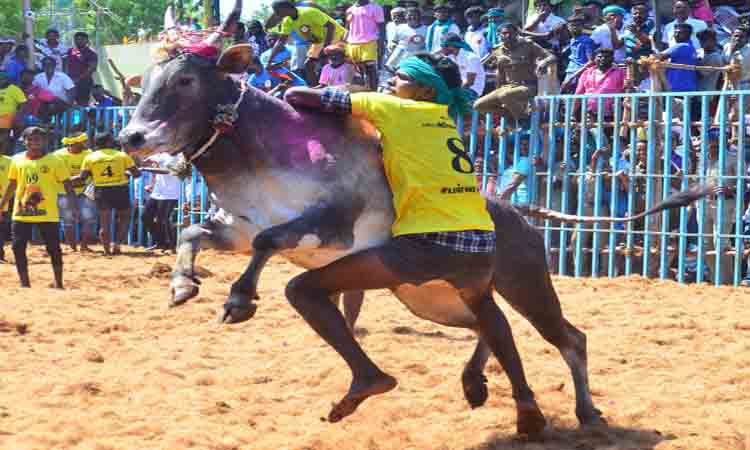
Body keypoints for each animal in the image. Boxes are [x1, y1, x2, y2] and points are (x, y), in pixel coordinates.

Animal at [119, 0, 712, 435]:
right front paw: (182, 285)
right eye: (149, 79)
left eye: (186, 81)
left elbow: (269, 240)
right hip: (431, 296)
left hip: (524, 282)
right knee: (489, 326)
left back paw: (579, 412)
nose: (132, 137)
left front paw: (239, 300)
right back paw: (476, 384)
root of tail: (514, 212)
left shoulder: (329, 221)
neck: (260, 149)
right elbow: (194, 231)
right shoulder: (235, 226)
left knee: (568, 337)